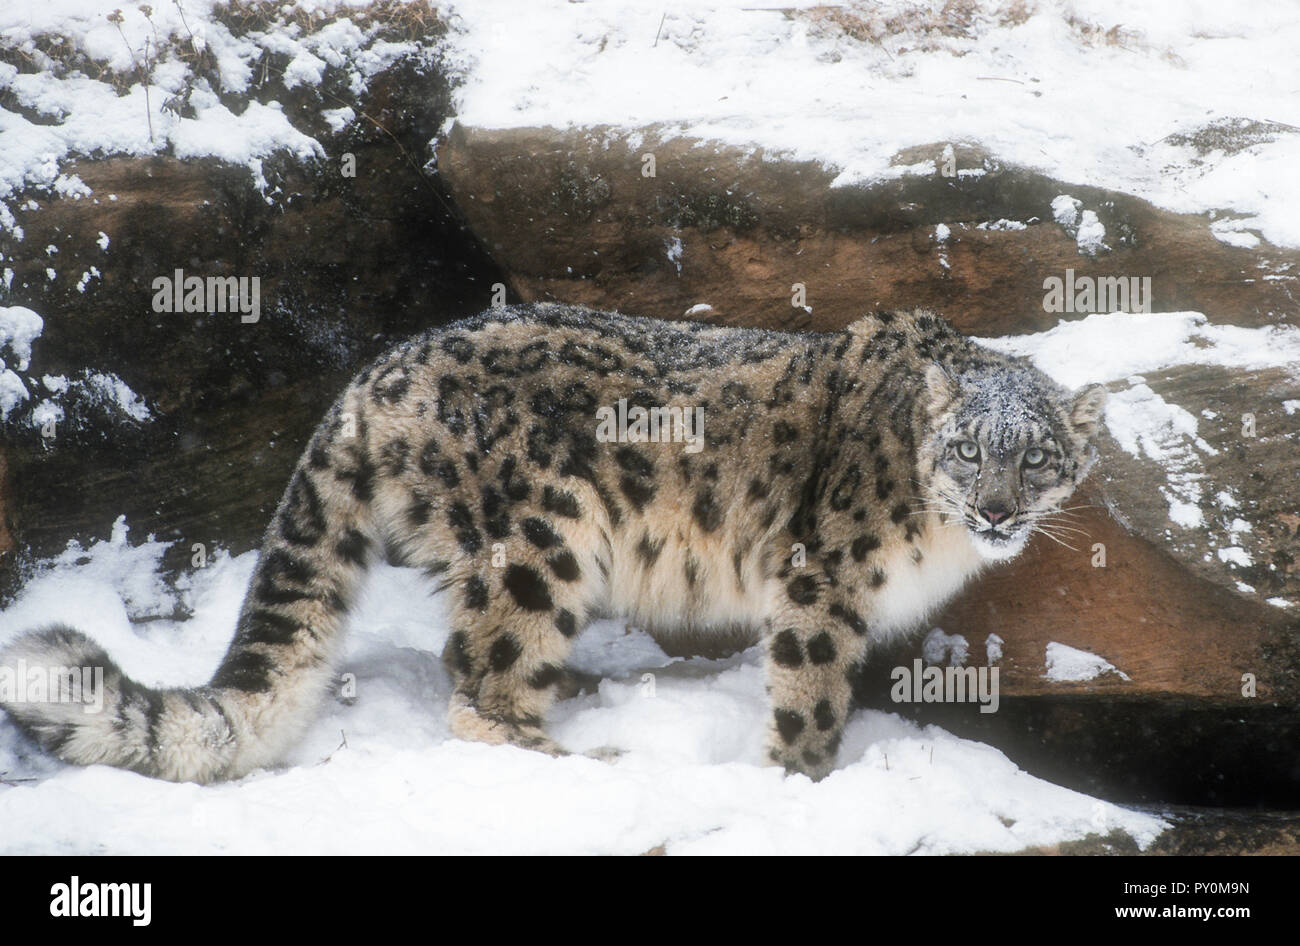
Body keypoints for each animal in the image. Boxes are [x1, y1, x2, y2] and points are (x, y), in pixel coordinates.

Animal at [0, 303, 1106, 783]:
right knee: (480, 680)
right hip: (539, 539)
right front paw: (803, 776)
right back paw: (573, 751)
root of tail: (371, 377)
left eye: (1037, 458)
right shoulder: (820, 581)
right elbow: (811, 685)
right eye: (968, 450)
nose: (997, 512)